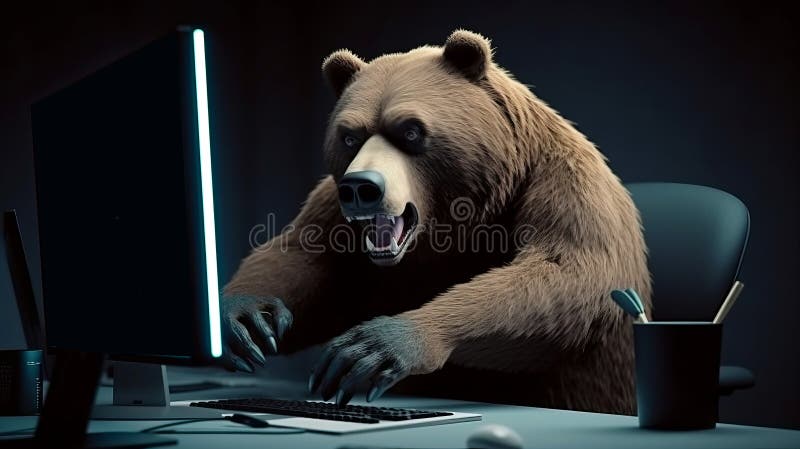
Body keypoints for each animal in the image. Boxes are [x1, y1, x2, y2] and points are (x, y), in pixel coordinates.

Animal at [220, 29, 651, 415]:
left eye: (411, 131)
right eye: (350, 136)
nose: (361, 187)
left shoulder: (565, 188)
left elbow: (567, 272)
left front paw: (378, 345)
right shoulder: (333, 211)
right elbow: (303, 258)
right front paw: (246, 320)